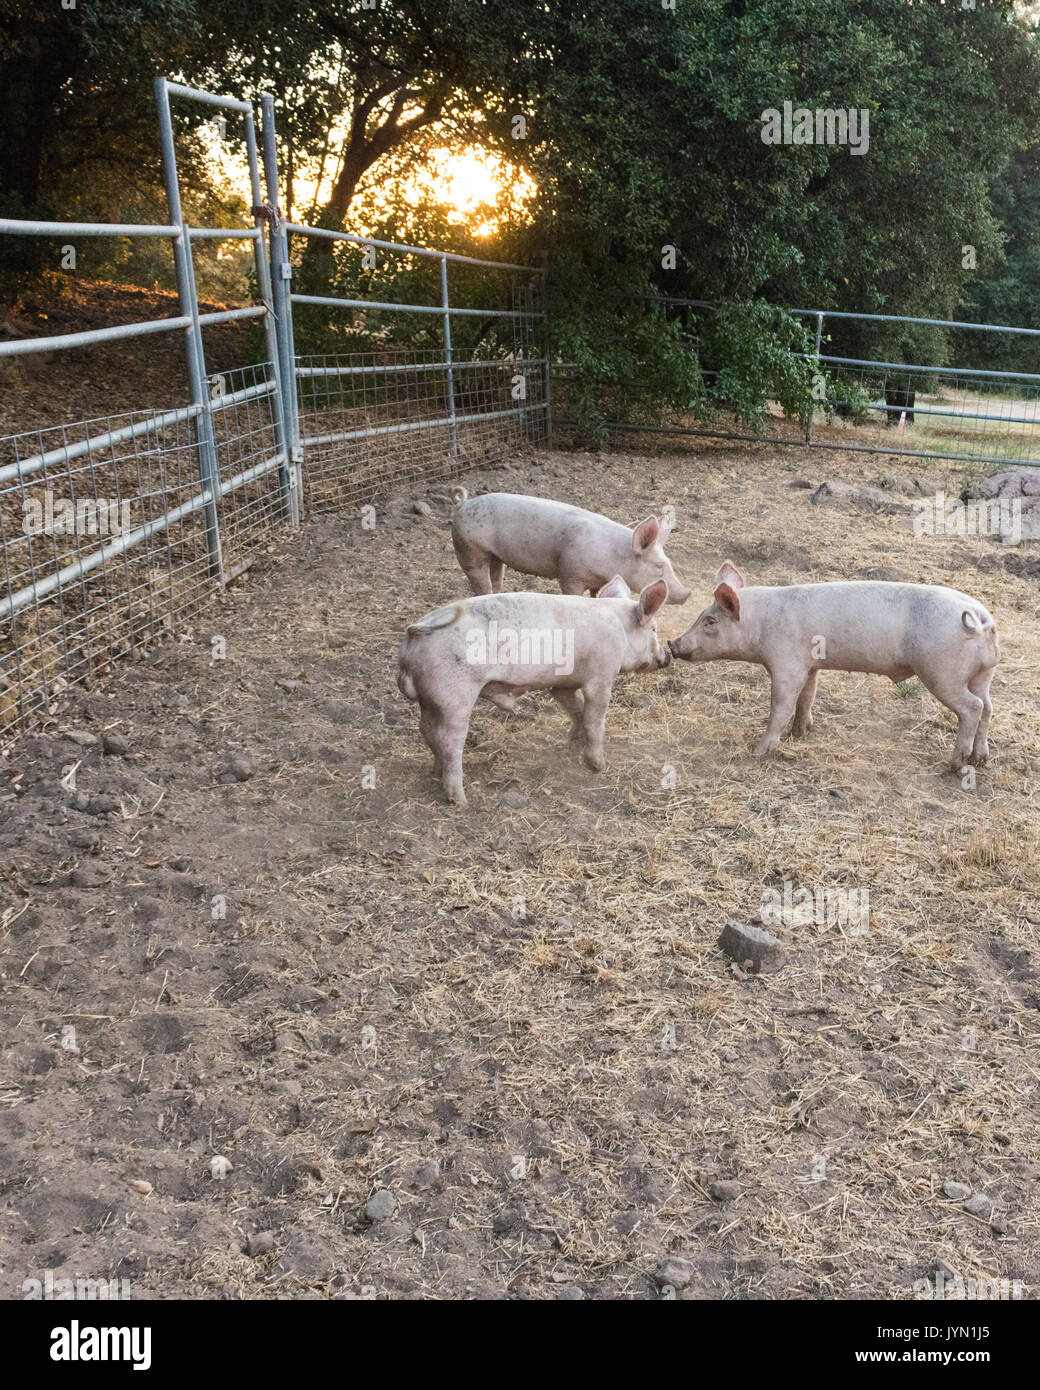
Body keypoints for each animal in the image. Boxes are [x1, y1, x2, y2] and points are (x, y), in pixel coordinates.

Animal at [397, 576, 671, 806]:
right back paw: (460, 800)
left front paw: (570, 745)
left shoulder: (562, 683)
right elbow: (594, 719)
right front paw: (598, 766)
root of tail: (415, 631)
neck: (621, 631)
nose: (667, 656)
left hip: (430, 699)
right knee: (448, 739)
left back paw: (435, 771)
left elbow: (576, 711)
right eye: (654, 629)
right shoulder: (601, 677)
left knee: (426, 729)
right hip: (457, 696)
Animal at [450, 490, 691, 604]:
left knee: (496, 578)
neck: (611, 558)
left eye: (669, 563)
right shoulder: (570, 574)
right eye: (659, 566)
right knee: (480, 582)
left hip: (495, 556)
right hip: (469, 549)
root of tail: (463, 505)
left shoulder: (598, 581)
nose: (686, 593)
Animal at [668, 561, 999, 768]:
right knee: (988, 706)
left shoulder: (786, 663)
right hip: (983, 674)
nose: (672, 644)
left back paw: (956, 764)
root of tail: (981, 619)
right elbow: (807, 697)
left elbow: (781, 704)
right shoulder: (810, 665)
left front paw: (760, 751)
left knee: (973, 707)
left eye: (711, 622)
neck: (759, 624)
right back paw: (980, 759)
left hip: (942, 673)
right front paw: (800, 734)